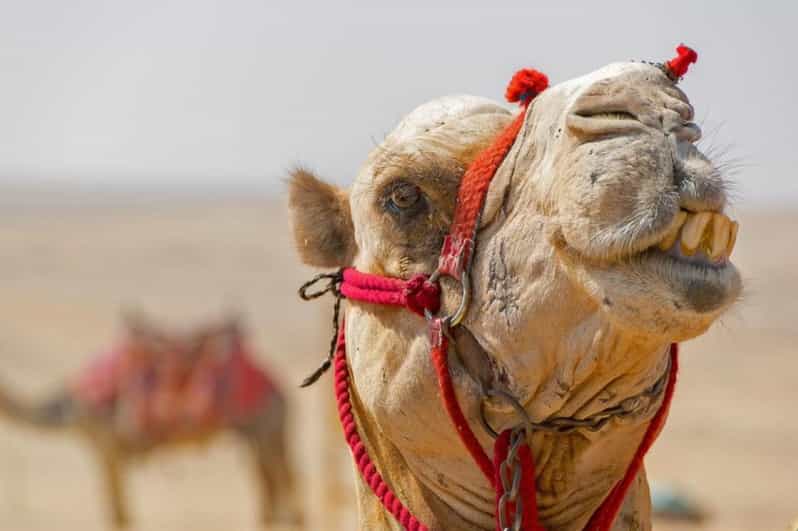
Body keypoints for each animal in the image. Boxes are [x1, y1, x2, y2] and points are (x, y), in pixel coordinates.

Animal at [0, 312, 302, 528]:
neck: (69, 406)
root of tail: (278, 385)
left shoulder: (107, 445)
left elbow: (119, 514)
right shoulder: (107, 450)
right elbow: (118, 510)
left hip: (267, 424)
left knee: (283, 477)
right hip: (265, 431)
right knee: (271, 479)